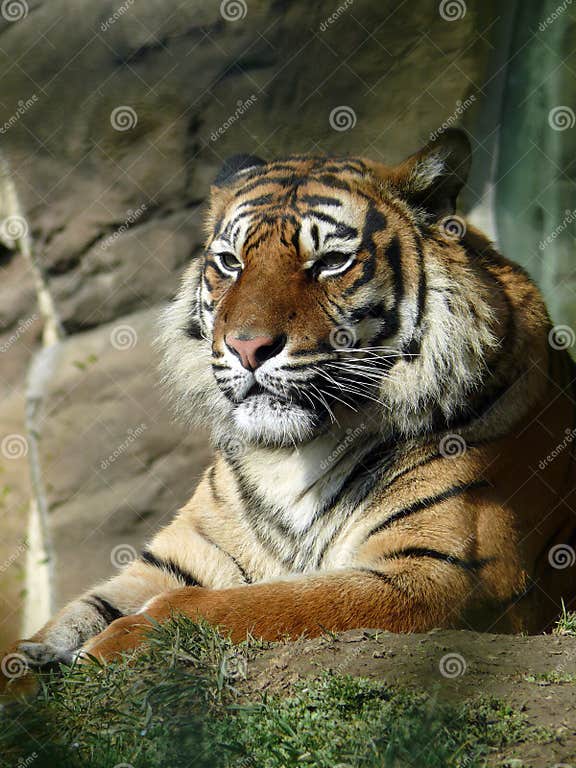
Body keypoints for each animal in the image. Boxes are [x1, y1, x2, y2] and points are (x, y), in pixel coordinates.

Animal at [2, 128, 576, 688]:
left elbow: (268, 602)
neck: (290, 454)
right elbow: (73, 615)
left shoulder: (442, 574)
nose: (248, 346)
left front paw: (125, 639)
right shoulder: (171, 561)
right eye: (231, 262)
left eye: (331, 262)